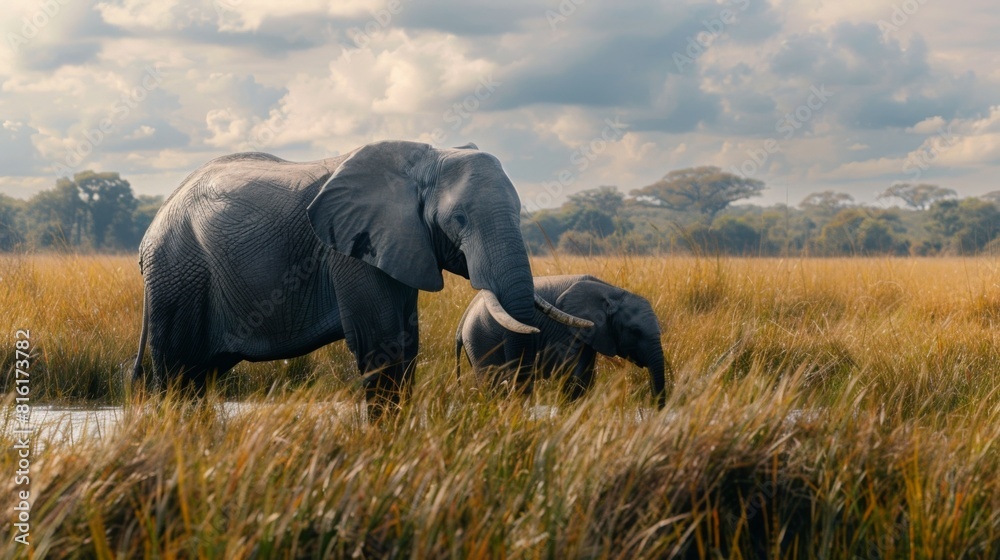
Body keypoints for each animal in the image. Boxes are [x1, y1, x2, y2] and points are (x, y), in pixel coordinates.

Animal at [131, 140, 590, 416]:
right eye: (459, 219)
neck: (425, 156)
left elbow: (406, 345)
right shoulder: (350, 249)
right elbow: (381, 345)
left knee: (200, 376)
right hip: (178, 274)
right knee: (177, 373)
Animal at [455, 275, 670, 408]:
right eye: (635, 332)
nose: (655, 408)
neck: (611, 292)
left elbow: (585, 377)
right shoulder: (566, 329)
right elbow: (572, 377)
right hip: (482, 338)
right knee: (494, 384)